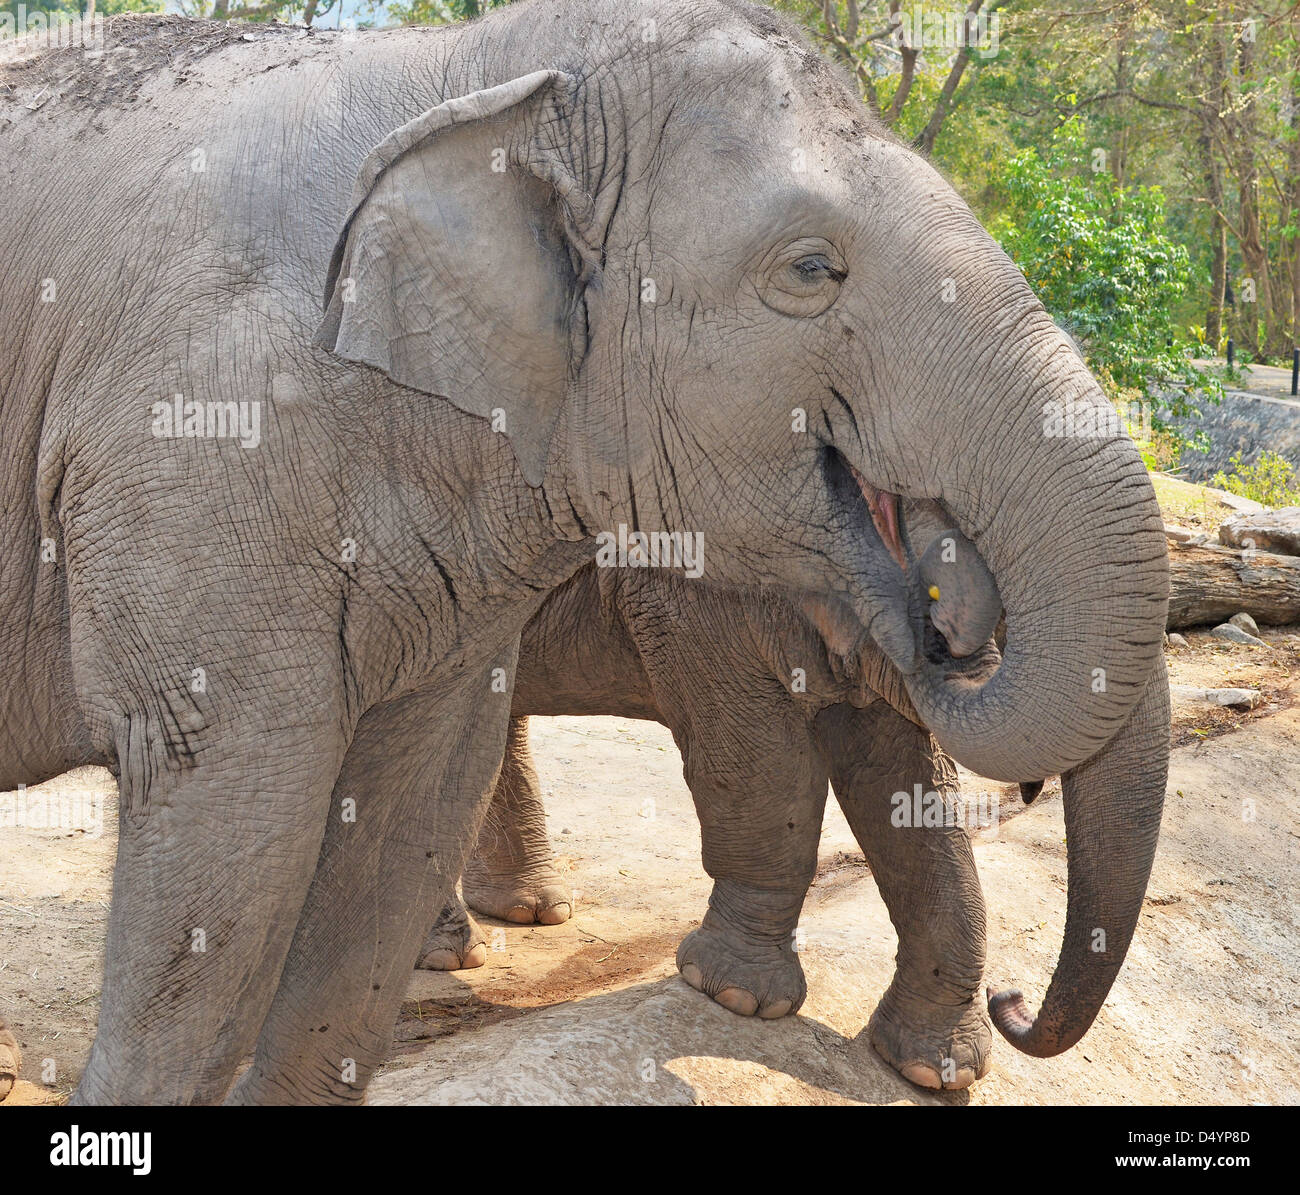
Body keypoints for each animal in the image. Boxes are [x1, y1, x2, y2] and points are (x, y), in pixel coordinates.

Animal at [0, 0, 1169, 1105]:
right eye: (810, 269)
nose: (1022, 1007)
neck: (481, 71)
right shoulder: (194, 447)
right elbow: (234, 812)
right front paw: (734, 996)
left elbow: (413, 798)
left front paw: (931, 1069)